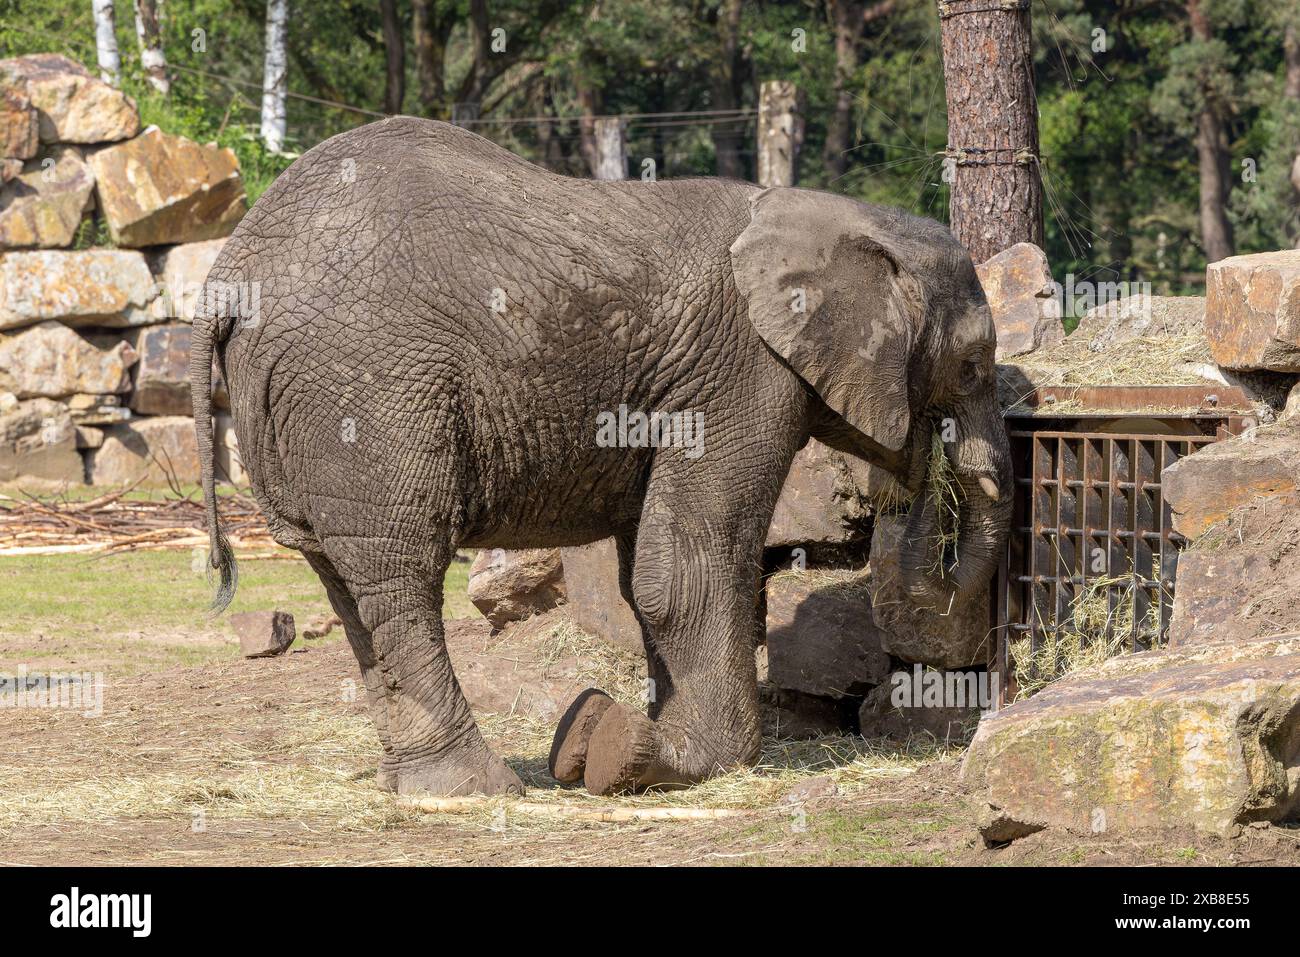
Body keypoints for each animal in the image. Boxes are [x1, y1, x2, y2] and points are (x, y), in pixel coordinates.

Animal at [190, 116, 1012, 798]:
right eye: (973, 366)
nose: (929, 485)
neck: (826, 215)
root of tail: (228, 276)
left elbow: (641, 569)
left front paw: (617, 742)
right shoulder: (739, 370)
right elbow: (688, 566)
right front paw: (686, 760)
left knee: (346, 581)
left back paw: (418, 783)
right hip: (368, 388)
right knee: (402, 571)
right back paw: (477, 789)